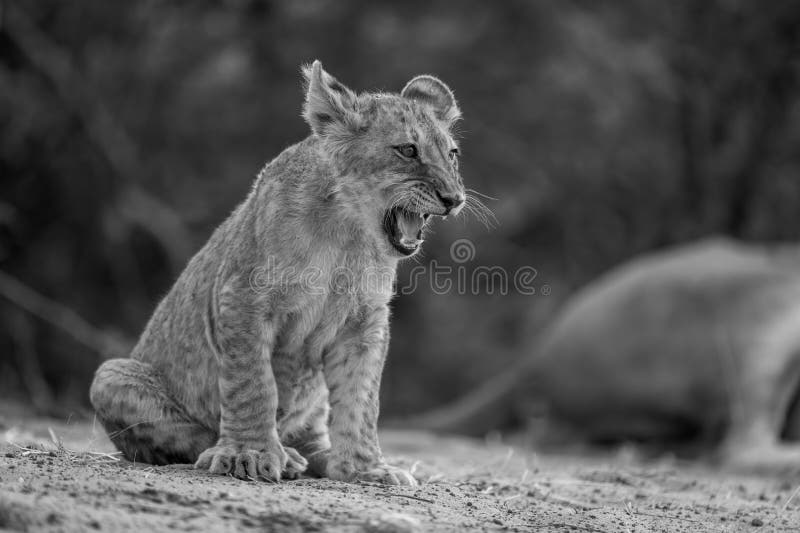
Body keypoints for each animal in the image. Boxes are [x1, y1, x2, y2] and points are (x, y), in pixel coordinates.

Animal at [89, 60, 466, 485]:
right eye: (407, 150)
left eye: (452, 154)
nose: (455, 199)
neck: (347, 236)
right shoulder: (242, 299)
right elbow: (253, 384)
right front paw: (248, 454)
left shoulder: (366, 322)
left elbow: (361, 398)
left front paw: (366, 468)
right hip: (110, 374)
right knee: (191, 435)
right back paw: (278, 457)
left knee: (312, 432)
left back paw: (312, 457)